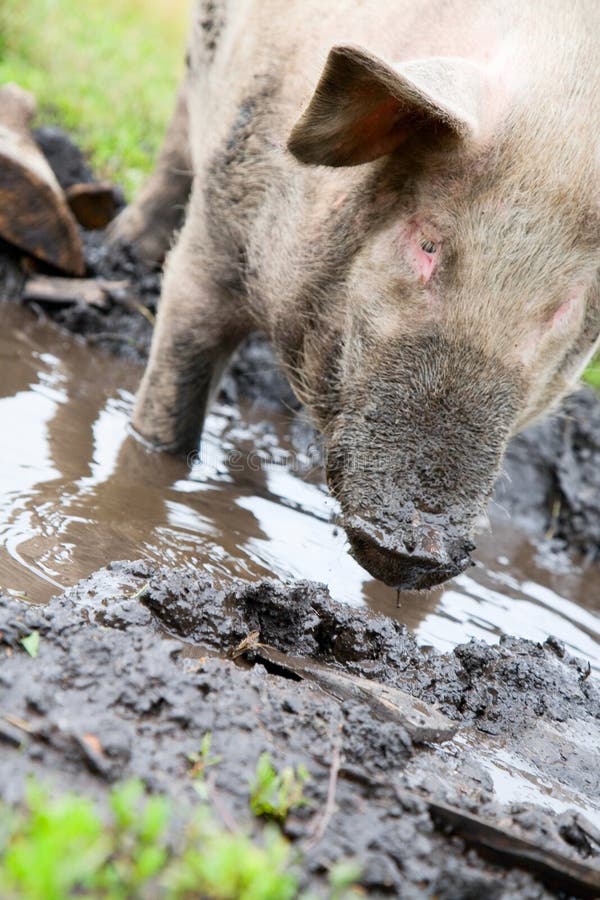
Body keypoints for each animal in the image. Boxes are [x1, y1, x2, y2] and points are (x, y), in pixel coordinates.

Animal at [109, 0, 600, 590]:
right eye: (428, 243)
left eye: (565, 306)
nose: (423, 544)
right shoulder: (217, 231)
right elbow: (177, 391)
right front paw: (154, 464)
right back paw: (122, 245)